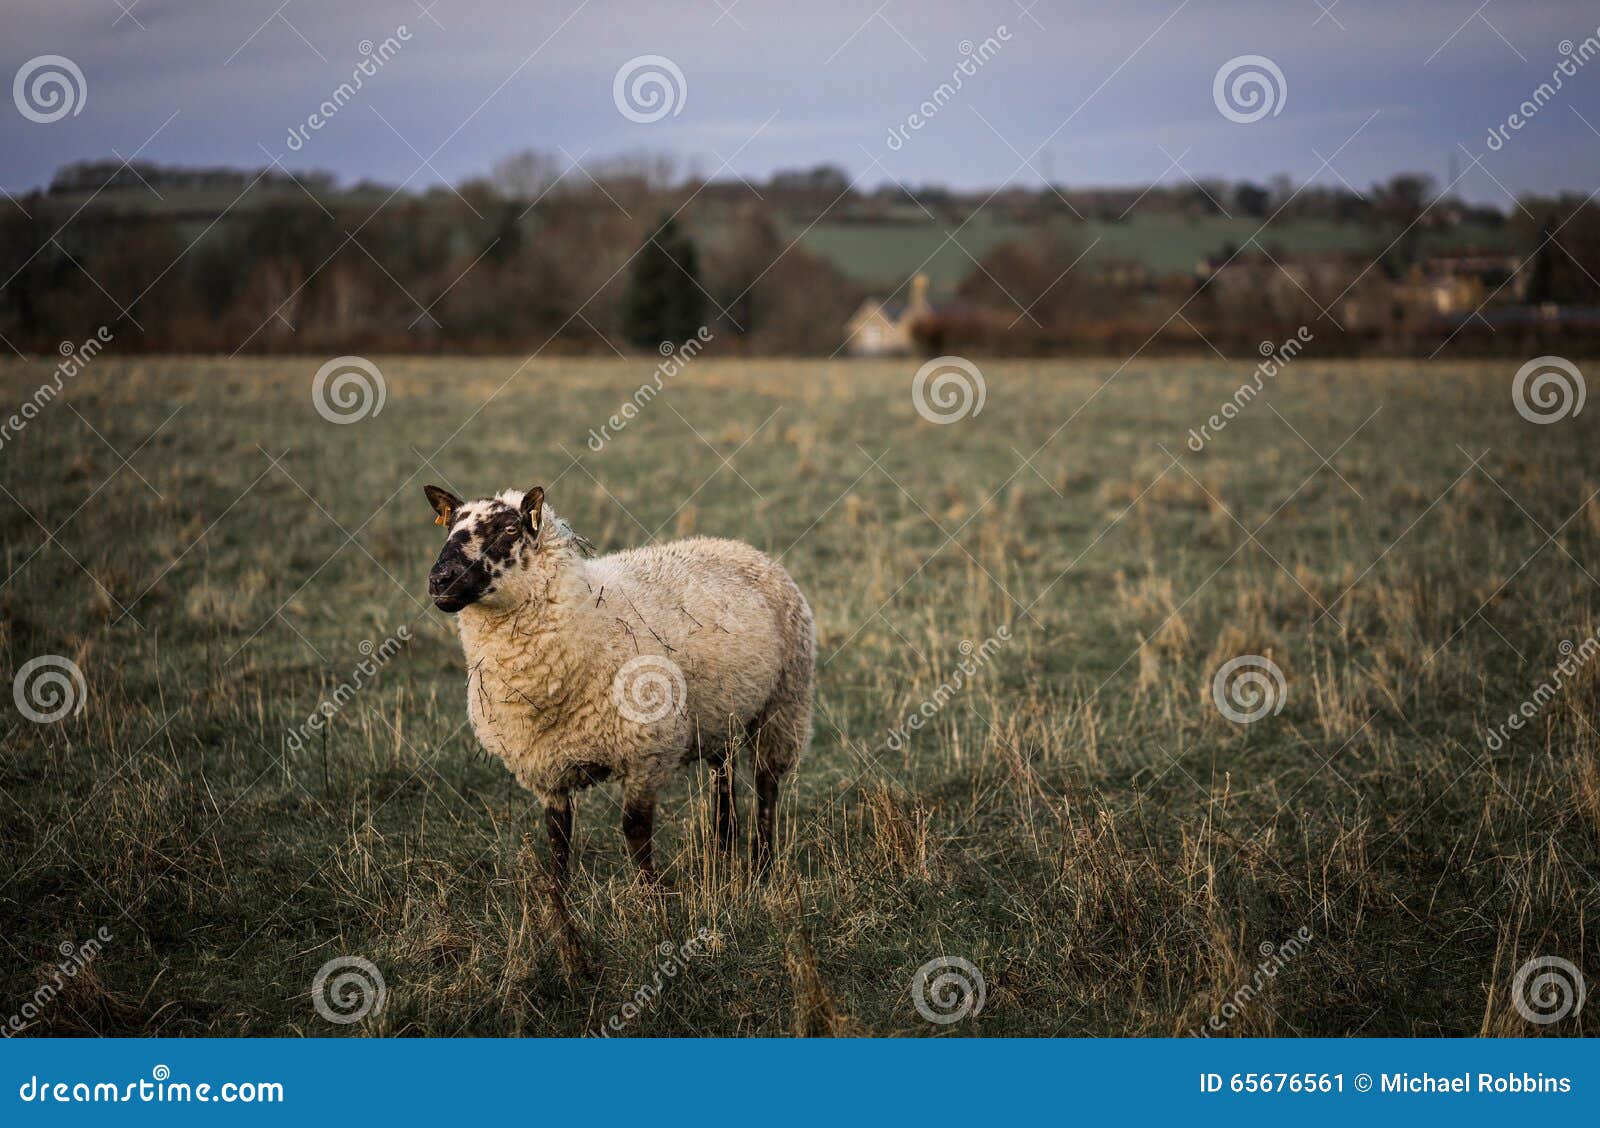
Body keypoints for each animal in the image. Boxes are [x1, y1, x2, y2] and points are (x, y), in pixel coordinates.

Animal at [423, 482, 814, 885]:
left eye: (510, 530)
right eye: (449, 527)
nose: (439, 581)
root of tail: (735, 546)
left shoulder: (646, 753)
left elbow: (635, 830)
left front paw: (651, 895)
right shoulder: (546, 768)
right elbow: (557, 838)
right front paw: (558, 897)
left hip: (783, 705)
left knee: (767, 786)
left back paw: (762, 865)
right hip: (720, 712)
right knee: (724, 772)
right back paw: (723, 849)